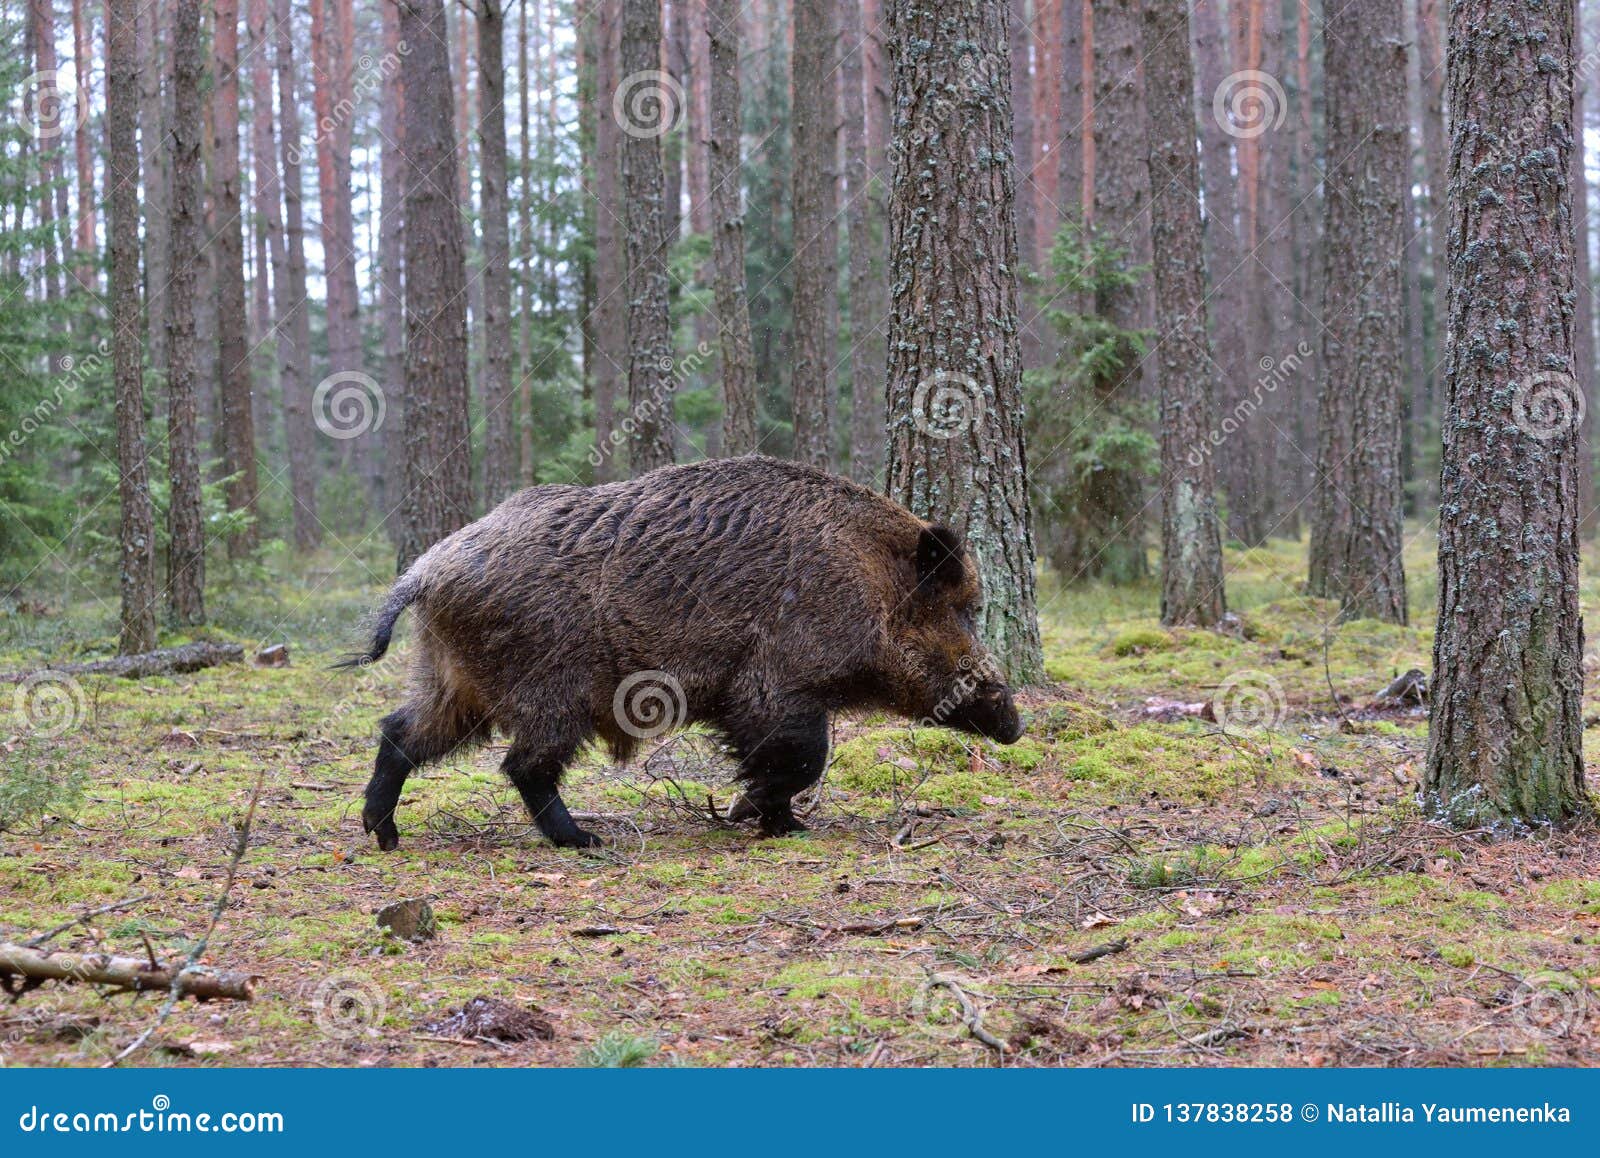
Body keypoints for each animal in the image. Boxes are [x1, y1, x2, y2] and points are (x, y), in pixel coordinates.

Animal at [340, 456, 1024, 850]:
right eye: (961, 610)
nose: (1016, 726)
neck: (866, 580)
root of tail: (425, 571)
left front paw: (781, 823)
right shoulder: (773, 684)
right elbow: (804, 757)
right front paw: (755, 814)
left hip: (458, 681)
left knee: (400, 731)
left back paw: (385, 835)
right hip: (549, 689)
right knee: (524, 765)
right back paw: (584, 840)